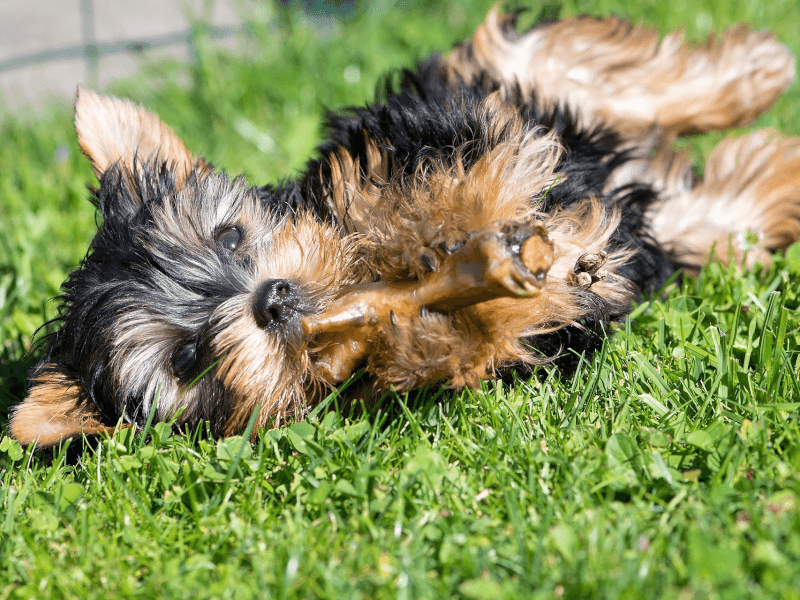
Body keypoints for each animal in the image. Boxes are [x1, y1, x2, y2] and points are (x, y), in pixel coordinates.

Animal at [7, 7, 800, 448]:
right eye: (190, 358)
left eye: (229, 236)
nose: (273, 299)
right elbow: (478, 342)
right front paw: (421, 327)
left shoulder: (405, 137)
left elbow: (422, 185)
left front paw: (435, 231)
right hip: (670, 220)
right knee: (715, 210)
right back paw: (775, 178)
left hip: (500, 81)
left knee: (587, 69)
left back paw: (754, 71)